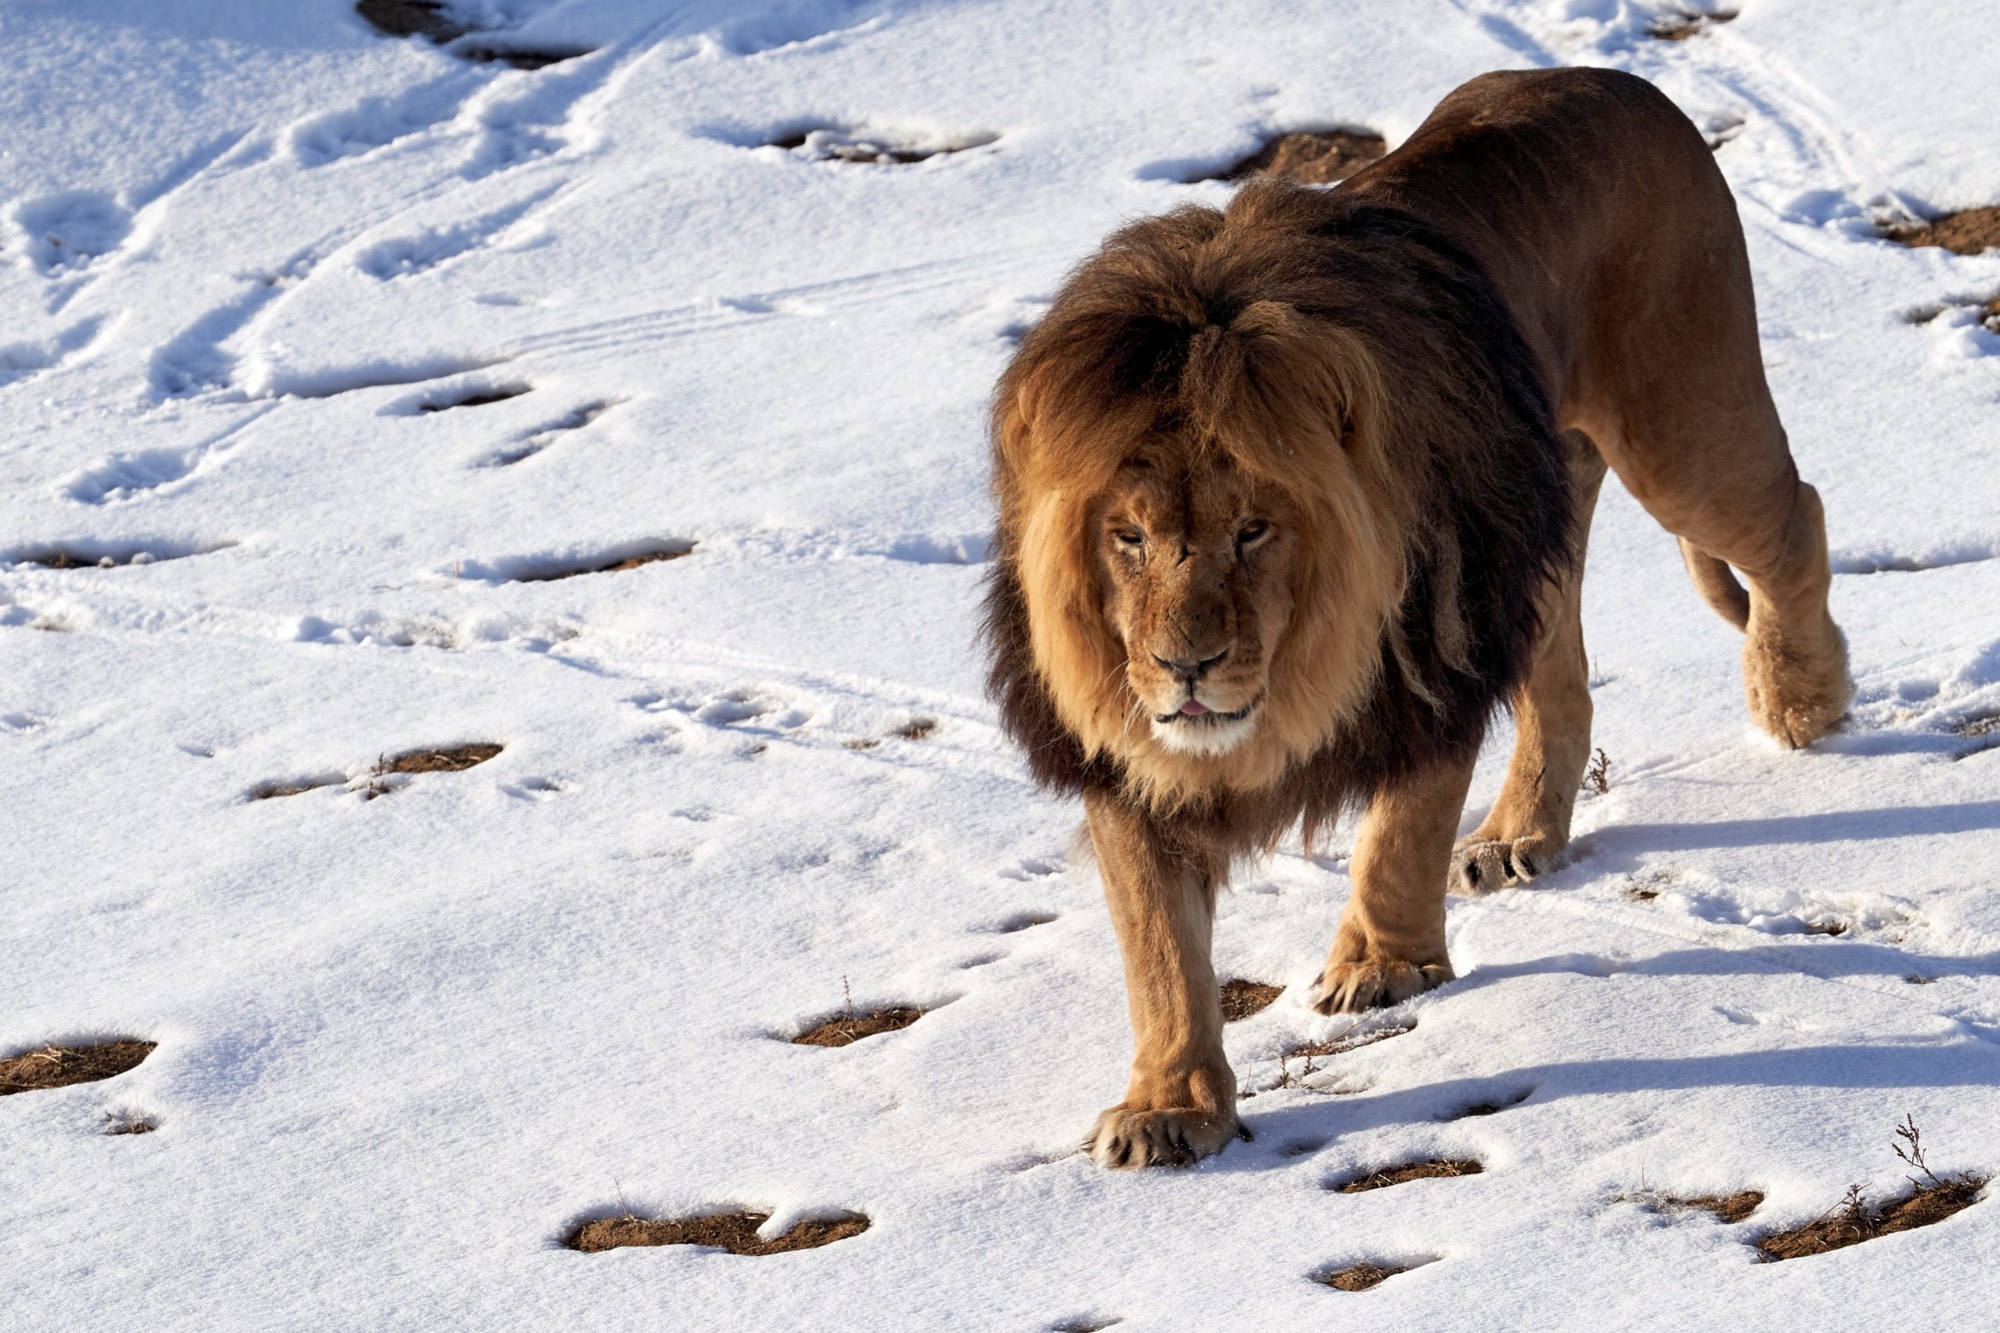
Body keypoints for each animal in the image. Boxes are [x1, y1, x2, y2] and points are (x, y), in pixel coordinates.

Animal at [980, 67, 1840, 1160]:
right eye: (1127, 536)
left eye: (1252, 530)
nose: (1185, 666)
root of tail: (1612, 80)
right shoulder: (1124, 746)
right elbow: (1159, 946)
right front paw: (1169, 1106)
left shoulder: (1439, 643)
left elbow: (1401, 831)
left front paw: (1379, 966)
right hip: (1544, 515)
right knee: (1563, 681)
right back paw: (1517, 834)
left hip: (1680, 426)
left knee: (1793, 519)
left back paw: (1799, 701)